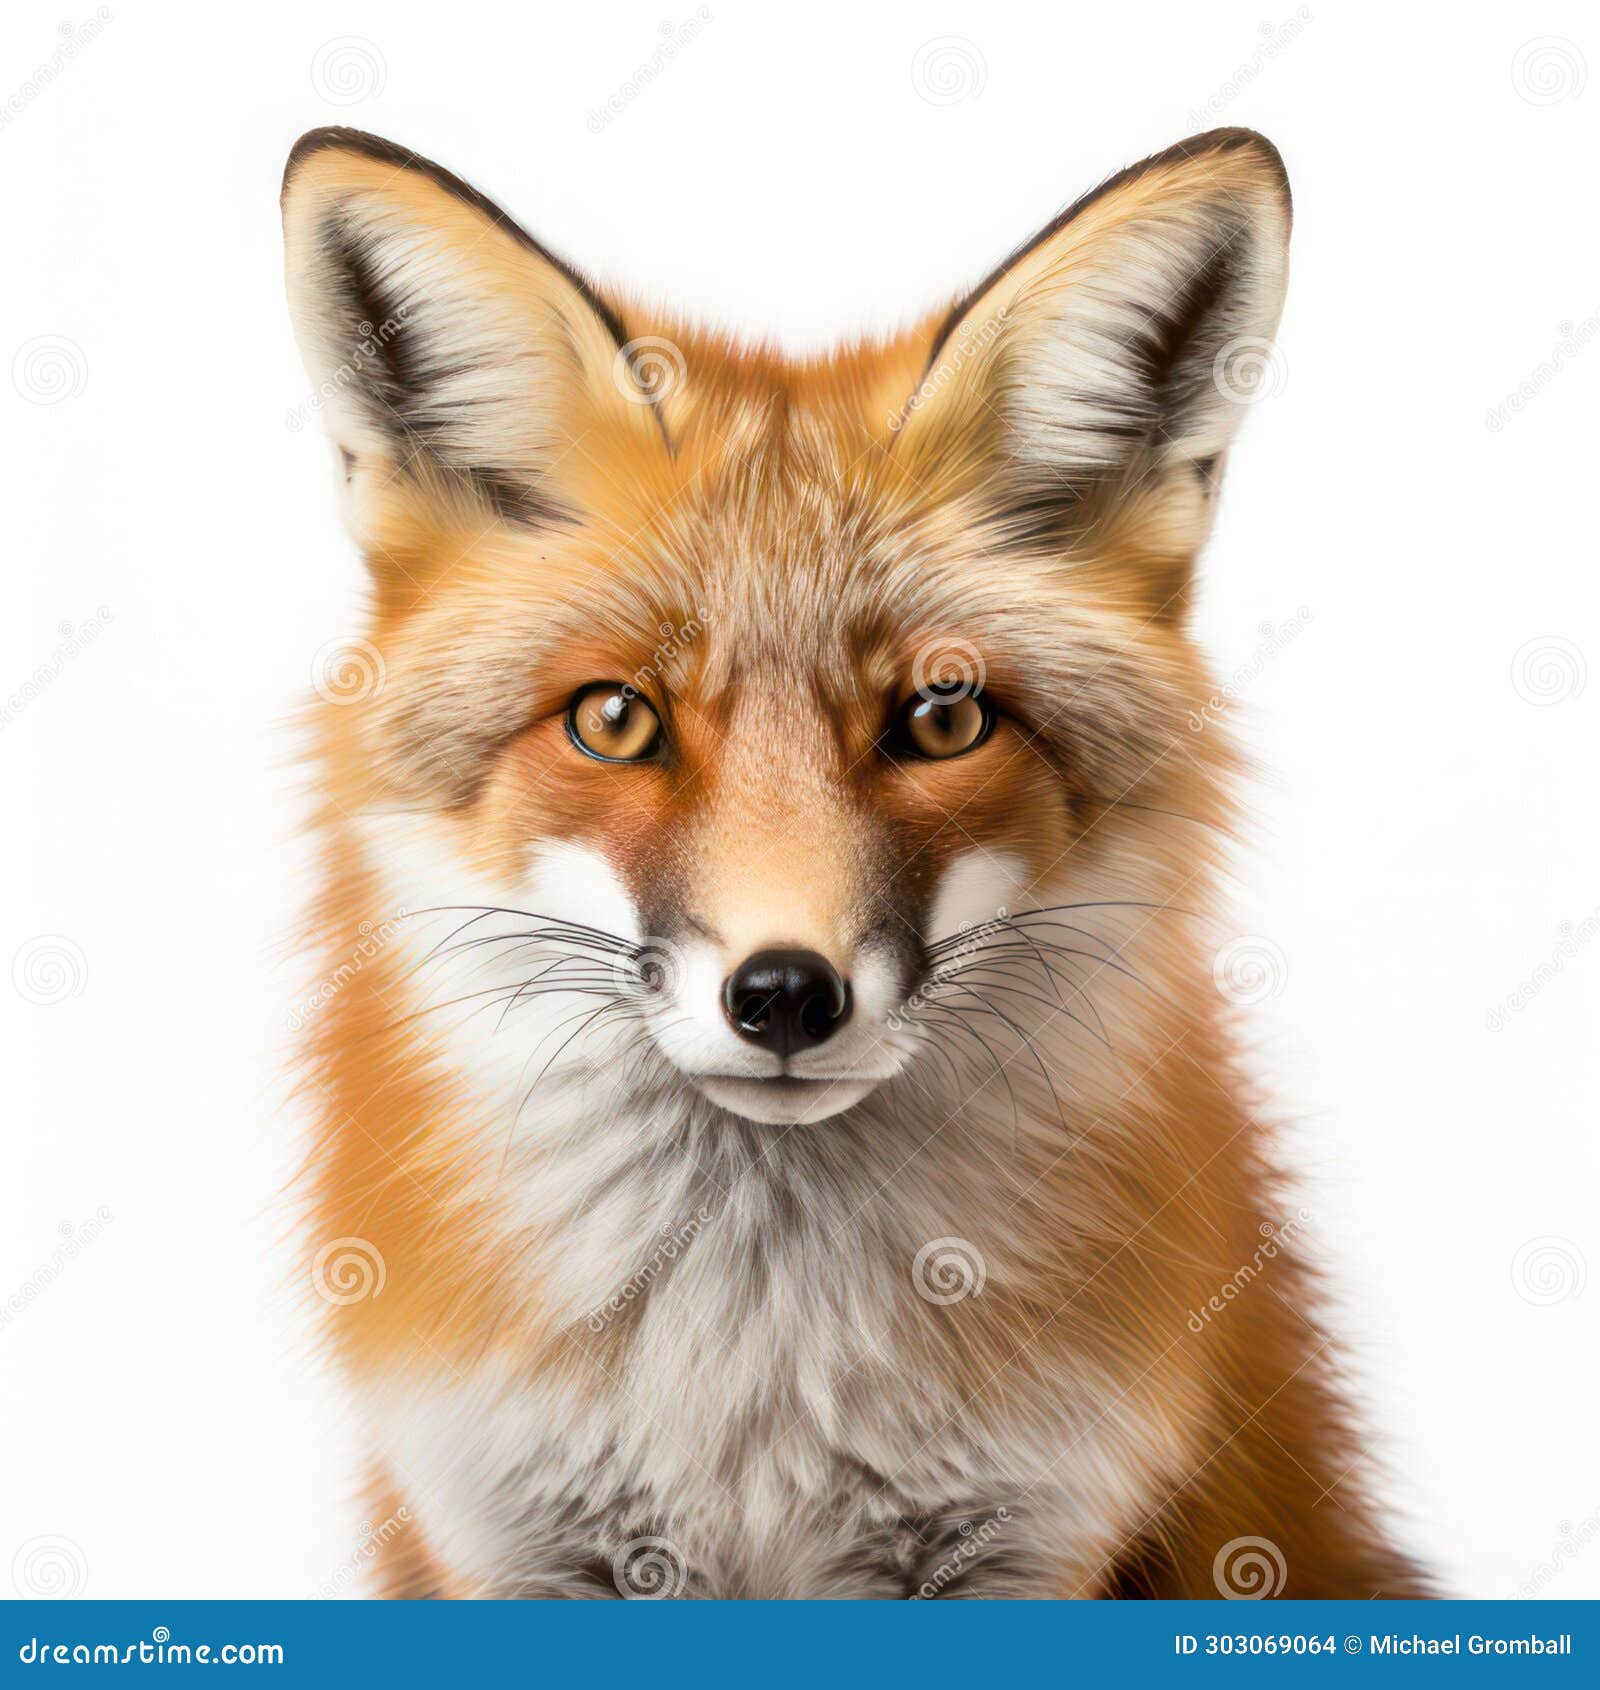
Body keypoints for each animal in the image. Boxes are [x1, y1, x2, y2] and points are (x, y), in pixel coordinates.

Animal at [282, 124, 1428, 1599]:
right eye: (614, 719)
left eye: (942, 718)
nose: (784, 994)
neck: (752, 1385)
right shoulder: (516, 1535)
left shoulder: (1024, 1532)